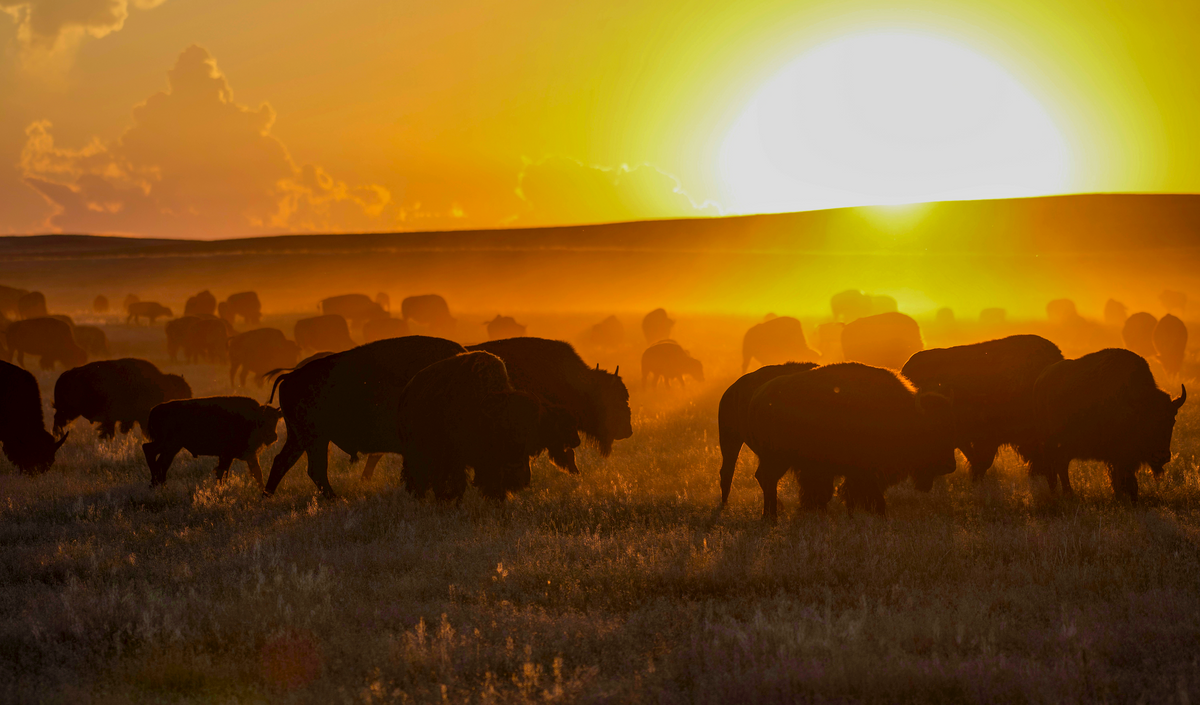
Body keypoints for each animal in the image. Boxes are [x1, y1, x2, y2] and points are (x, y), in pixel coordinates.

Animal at [144, 397, 282, 489]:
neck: (252, 418)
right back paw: (158, 484)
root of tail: (154, 410)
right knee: (152, 453)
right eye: (262, 420)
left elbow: (257, 473)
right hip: (169, 445)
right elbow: (222, 473)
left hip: (171, 447)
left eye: (276, 419)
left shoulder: (248, 456)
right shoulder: (227, 455)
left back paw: (158, 484)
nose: (272, 436)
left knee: (160, 461)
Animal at [265, 335, 466, 496]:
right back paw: (334, 499)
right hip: (314, 439)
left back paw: (268, 496)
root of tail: (290, 376)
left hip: (300, 438)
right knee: (315, 469)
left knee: (283, 462)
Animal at [397, 352, 579, 500]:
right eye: (505, 427)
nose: (515, 465)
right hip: (416, 453)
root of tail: (408, 390)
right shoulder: (454, 457)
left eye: (531, 430)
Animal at [744, 363, 956, 520]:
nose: (950, 465)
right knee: (767, 479)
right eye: (933, 433)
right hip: (777, 459)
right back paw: (770, 517)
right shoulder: (865, 471)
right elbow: (866, 494)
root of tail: (758, 397)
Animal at [1032, 348, 1185, 501]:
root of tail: (1040, 380)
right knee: (1053, 468)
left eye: (1172, 420)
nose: (1162, 456)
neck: (1132, 405)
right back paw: (1061, 493)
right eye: (1145, 420)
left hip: (1066, 446)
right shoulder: (1118, 456)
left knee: (1061, 464)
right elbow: (1121, 478)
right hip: (1049, 443)